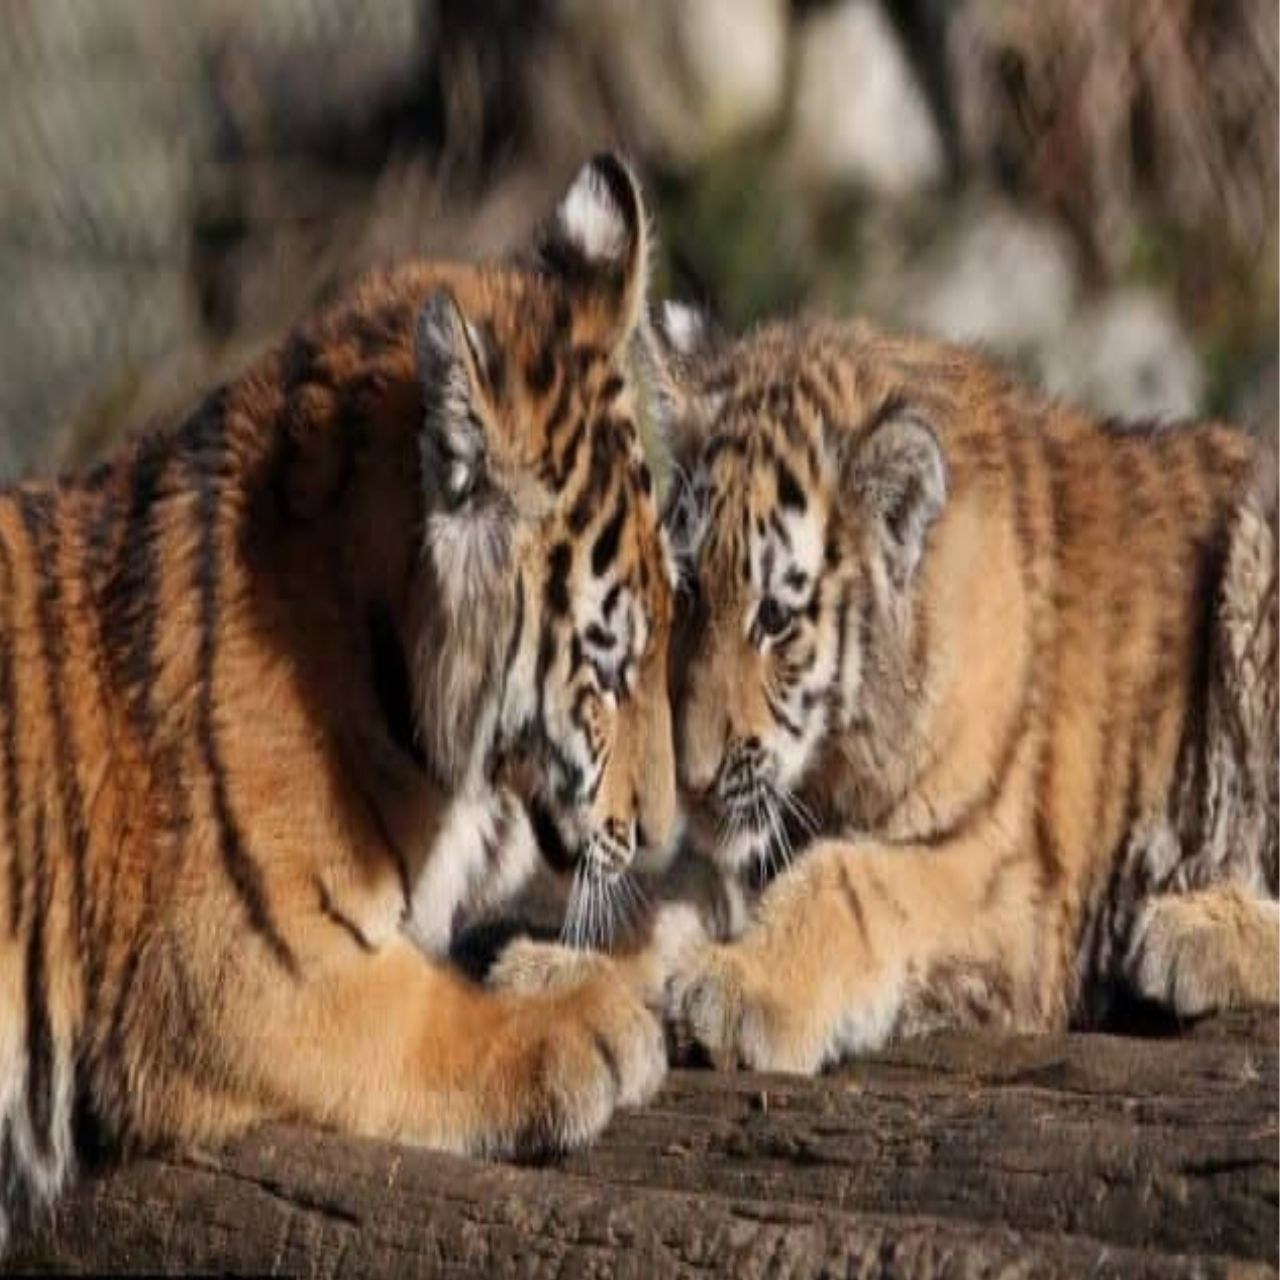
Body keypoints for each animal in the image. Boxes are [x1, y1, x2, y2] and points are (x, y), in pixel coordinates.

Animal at [637, 302, 1277, 1073]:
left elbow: (845, 880)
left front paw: (731, 987)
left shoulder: (1006, 880)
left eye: (775, 618)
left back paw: (1188, 933)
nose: (689, 779)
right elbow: (662, 900)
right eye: (689, 592)